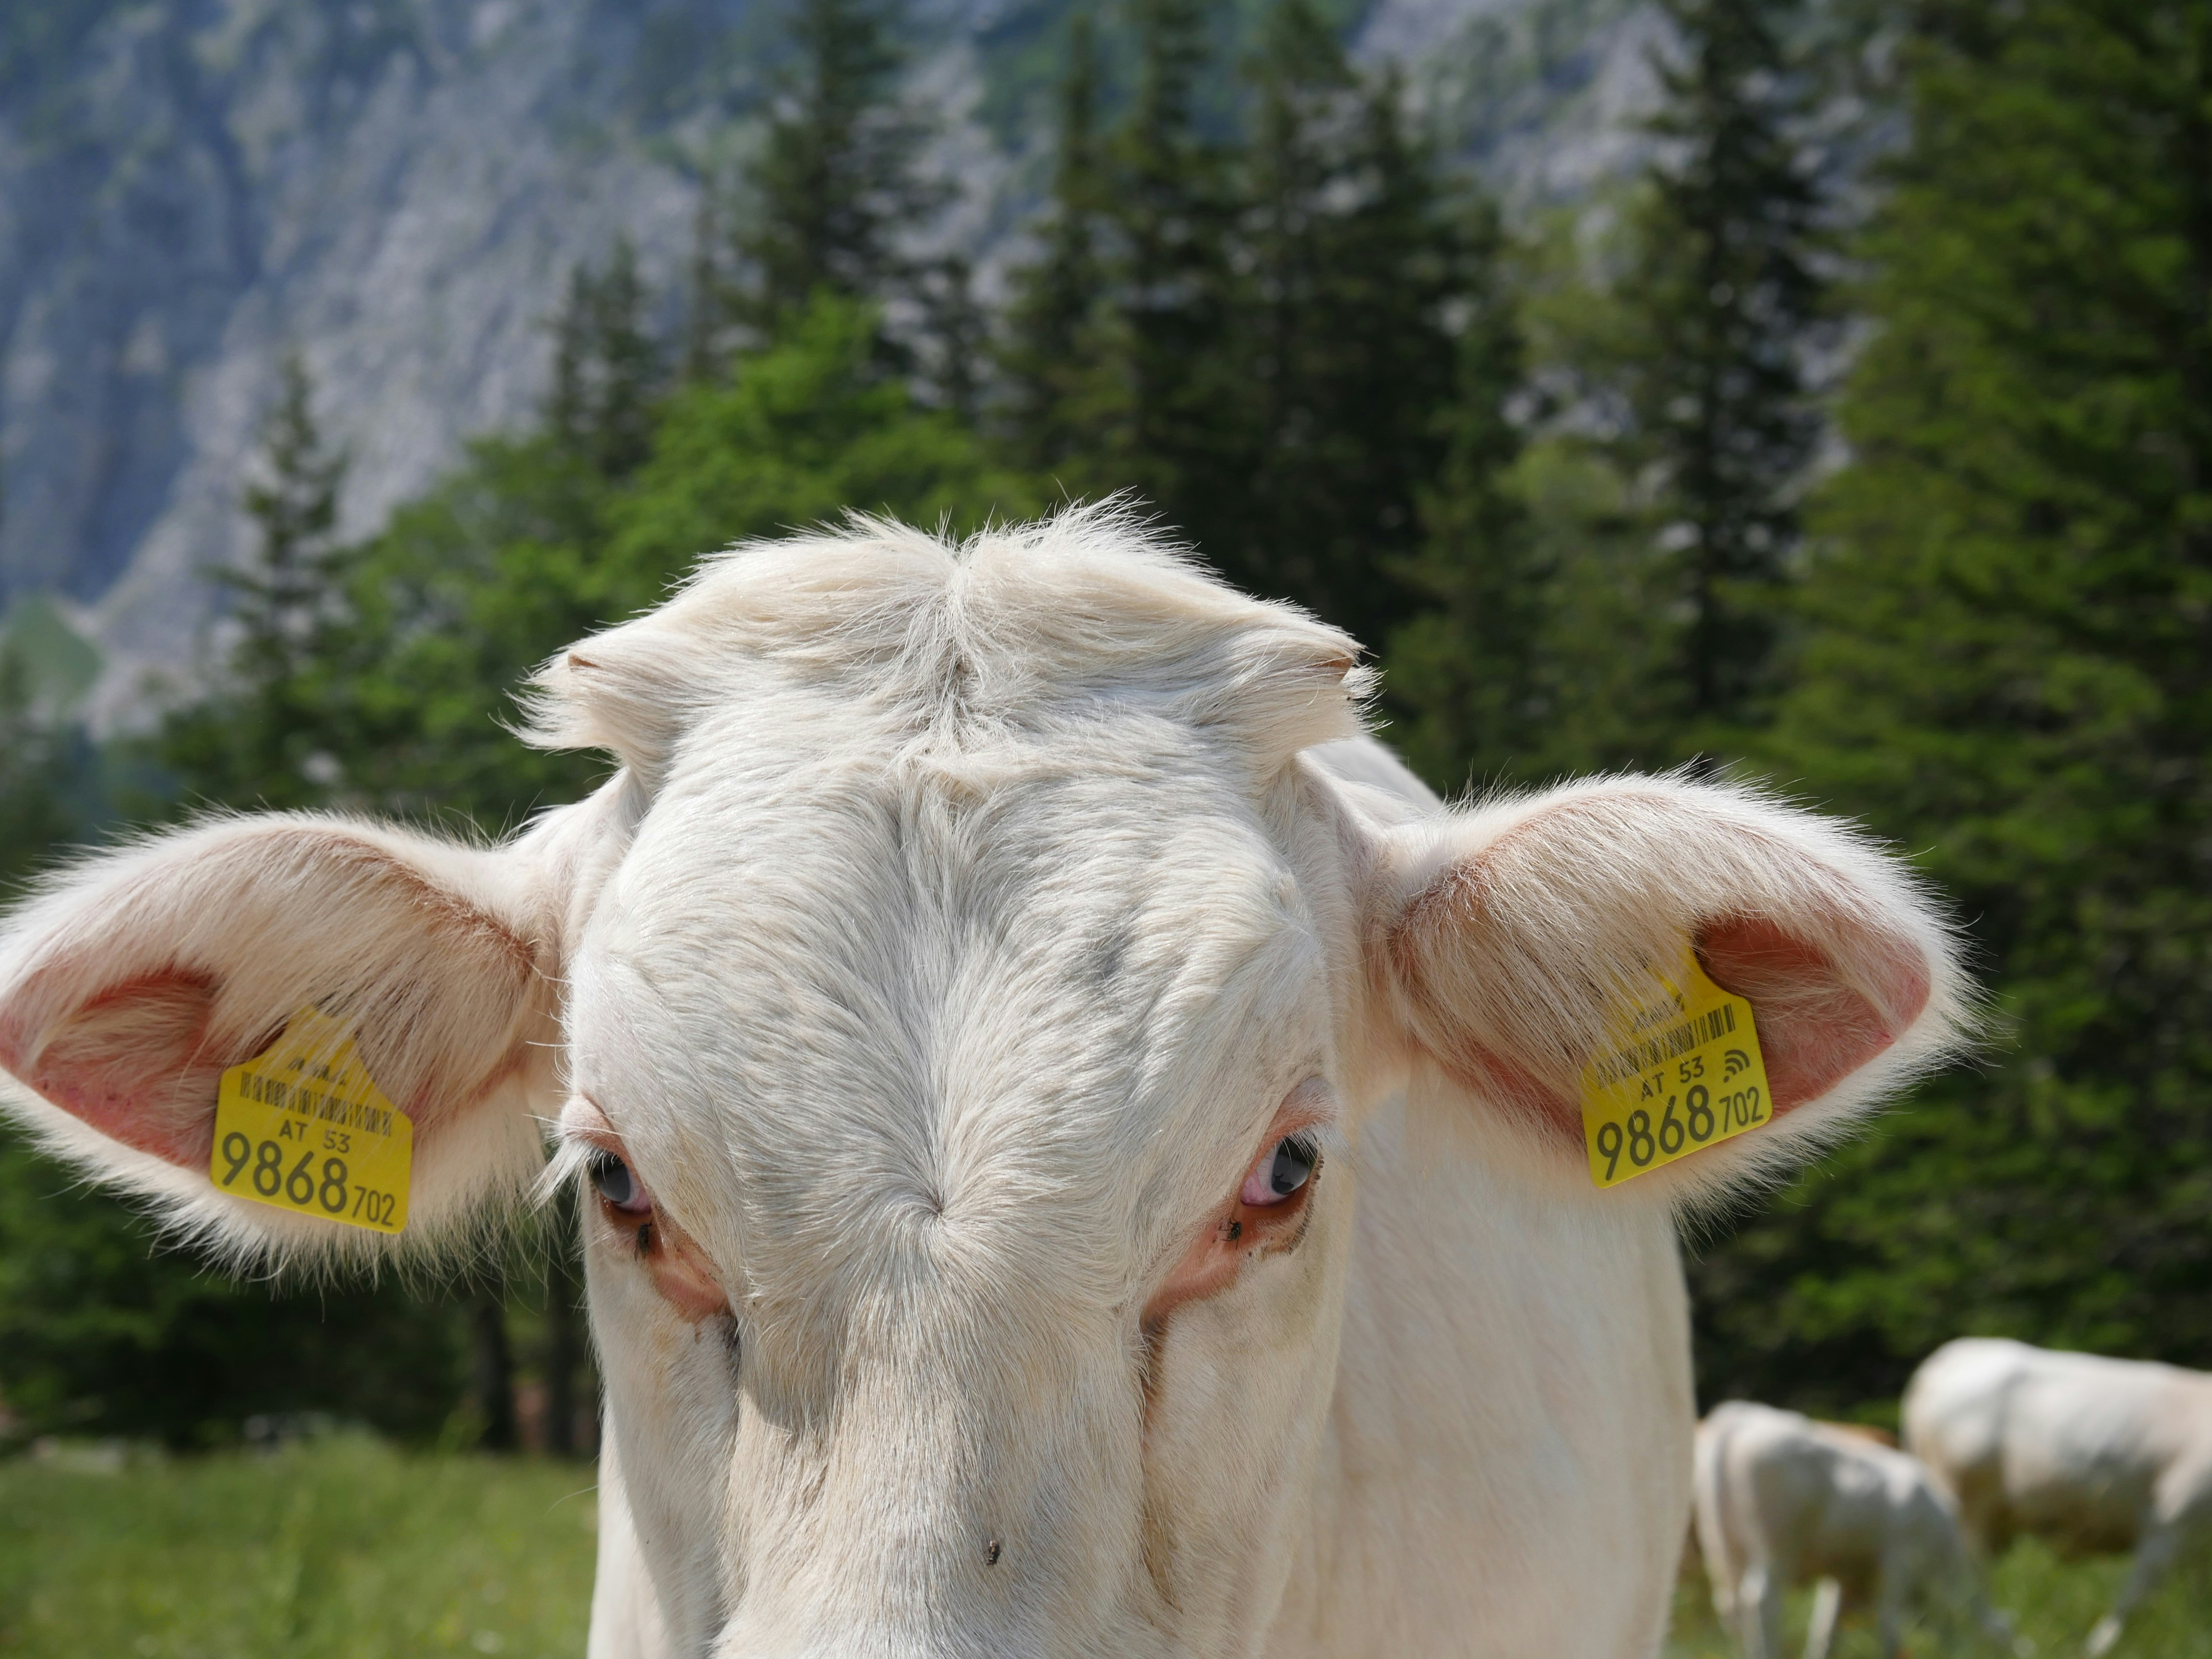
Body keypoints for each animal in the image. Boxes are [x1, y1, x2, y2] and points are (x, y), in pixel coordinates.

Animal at [1695, 1400, 2015, 1659]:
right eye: (2006, 1647)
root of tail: (1737, 1418)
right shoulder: (1899, 1558)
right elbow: (1890, 1625)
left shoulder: (1843, 1576)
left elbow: (1826, 1630)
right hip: (1777, 1546)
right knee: (1762, 1604)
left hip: (1723, 1547)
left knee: (1731, 1606)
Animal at [1907, 1336, 2212, 1656]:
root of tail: (1958, 1353)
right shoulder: (2171, 1524)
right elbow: (2134, 1599)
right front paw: (2096, 1649)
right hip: (1965, 1515)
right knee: (1965, 1590)